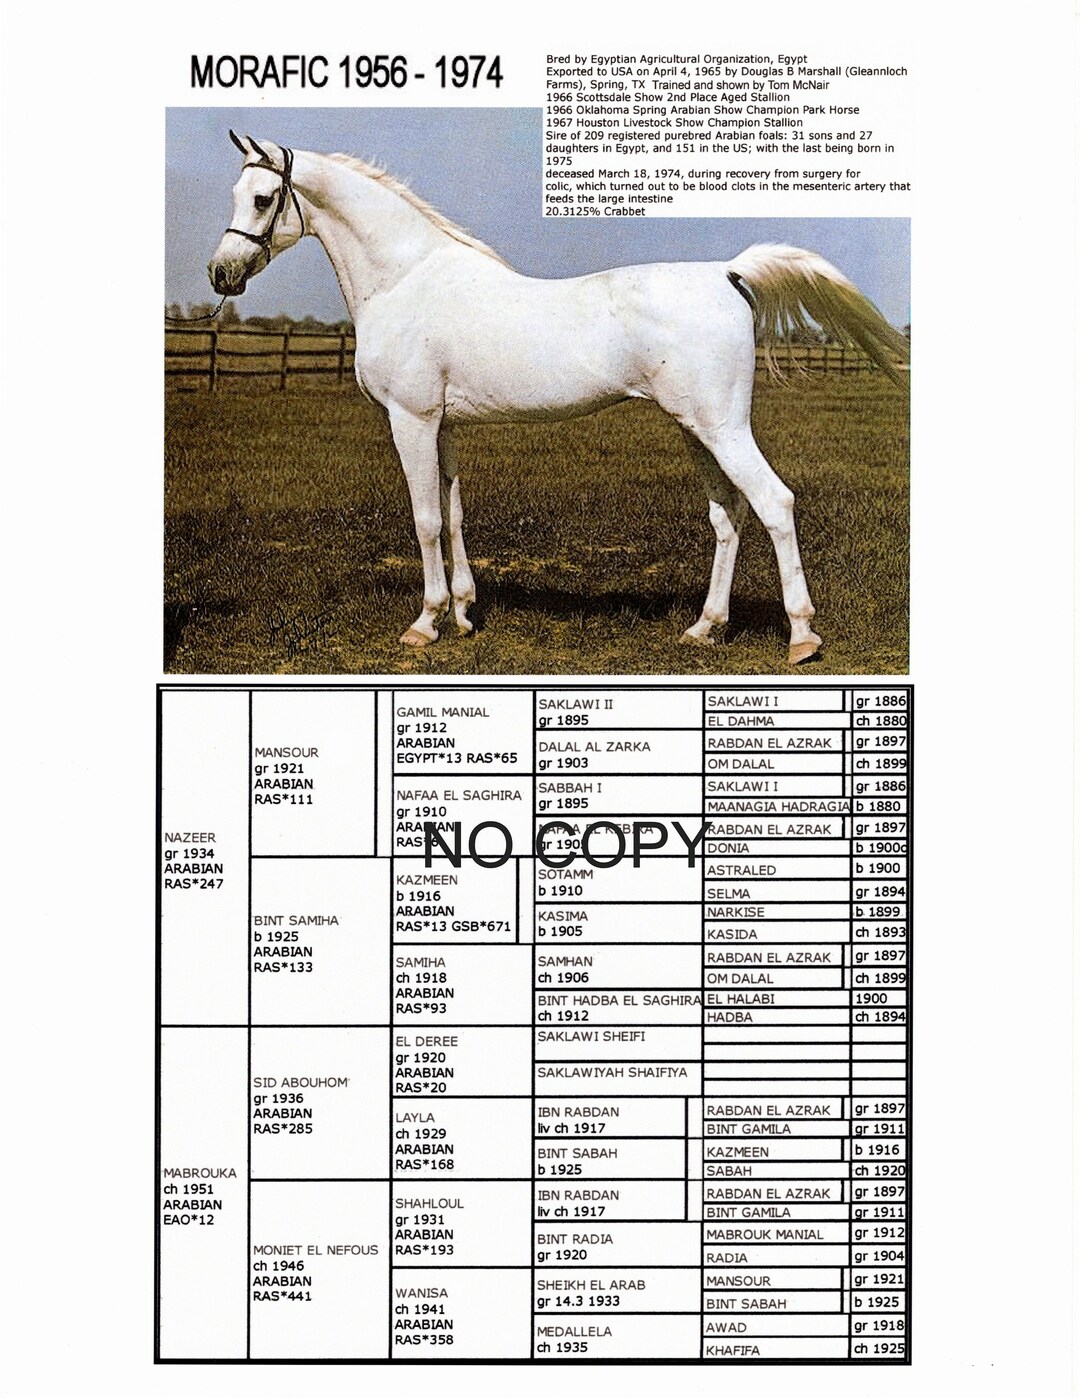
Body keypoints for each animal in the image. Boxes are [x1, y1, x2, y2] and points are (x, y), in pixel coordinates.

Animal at [208, 133, 908, 664]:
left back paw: (802, 638)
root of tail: (725, 272)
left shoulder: (411, 420)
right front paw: (464, 614)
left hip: (723, 427)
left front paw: (425, 623)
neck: (406, 279)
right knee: (728, 516)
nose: (221, 274)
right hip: (695, 428)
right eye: (236, 194)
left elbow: (427, 519)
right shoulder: (446, 426)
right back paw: (705, 628)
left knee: (774, 503)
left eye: (265, 198)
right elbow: (455, 515)